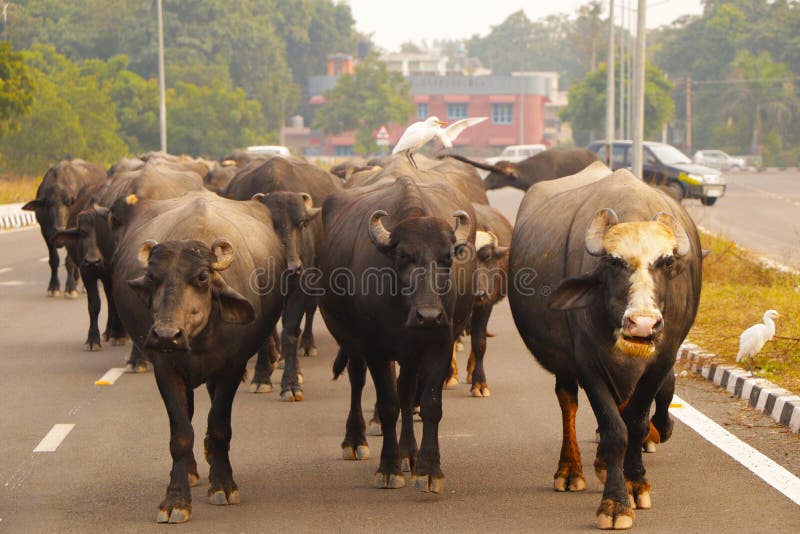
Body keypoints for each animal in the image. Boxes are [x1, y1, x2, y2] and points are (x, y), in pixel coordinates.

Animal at [22, 159, 107, 297]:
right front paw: (53, 287)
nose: (59, 229)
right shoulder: (45, 232)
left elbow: (69, 261)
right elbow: (54, 260)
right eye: (49, 204)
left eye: (69, 203)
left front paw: (70, 288)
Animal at [112, 190, 286, 524]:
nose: (166, 335)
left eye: (203, 277)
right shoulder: (166, 369)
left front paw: (224, 485)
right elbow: (181, 433)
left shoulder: (232, 368)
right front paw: (176, 499)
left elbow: (219, 425)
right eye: (151, 277)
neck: (200, 337)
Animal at [224, 156, 342, 399]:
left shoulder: (300, 284)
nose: (292, 266)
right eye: (270, 225)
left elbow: (290, 332)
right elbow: (265, 333)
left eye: (302, 224)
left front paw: (291, 383)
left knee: (303, 315)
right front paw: (261, 378)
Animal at [319, 174, 476, 494]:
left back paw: (409, 454)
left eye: (447, 258)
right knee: (357, 380)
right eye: (404, 256)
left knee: (406, 390)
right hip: (352, 344)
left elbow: (429, 405)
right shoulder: (376, 349)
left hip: (411, 353)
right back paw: (355, 441)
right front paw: (388, 468)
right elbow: (388, 405)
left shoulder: (440, 343)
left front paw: (429, 469)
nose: (429, 316)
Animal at [508, 161, 702, 529]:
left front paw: (636, 483)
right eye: (613, 261)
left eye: (667, 262)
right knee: (568, 402)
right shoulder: (588, 363)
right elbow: (614, 430)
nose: (643, 324)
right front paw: (615, 504)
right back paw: (570, 471)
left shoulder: (661, 361)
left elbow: (636, 423)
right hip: (565, 365)